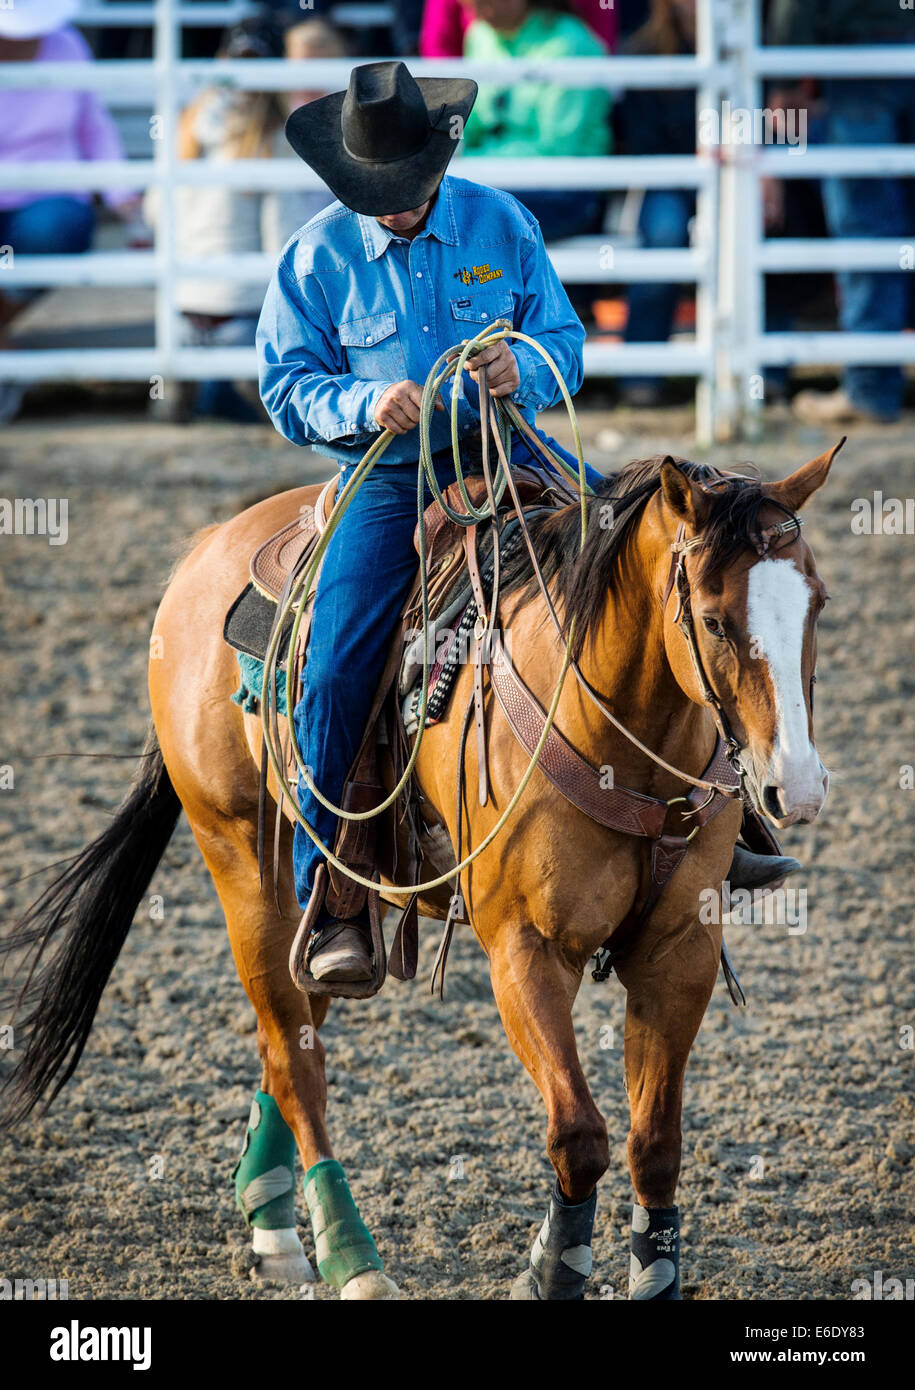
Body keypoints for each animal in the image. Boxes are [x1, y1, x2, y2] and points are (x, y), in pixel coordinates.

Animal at [0, 440, 840, 1299]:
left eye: (817, 604)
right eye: (711, 619)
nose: (797, 788)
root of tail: (205, 549)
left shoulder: (678, 954)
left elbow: (654, 1145)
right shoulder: (525, 950)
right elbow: (578, 1136)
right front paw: (550, 1273)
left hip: (319, 909)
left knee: (291, 1030)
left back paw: (271, 1223)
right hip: (241, 869)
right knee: (297, 1064)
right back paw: (349, 1256)